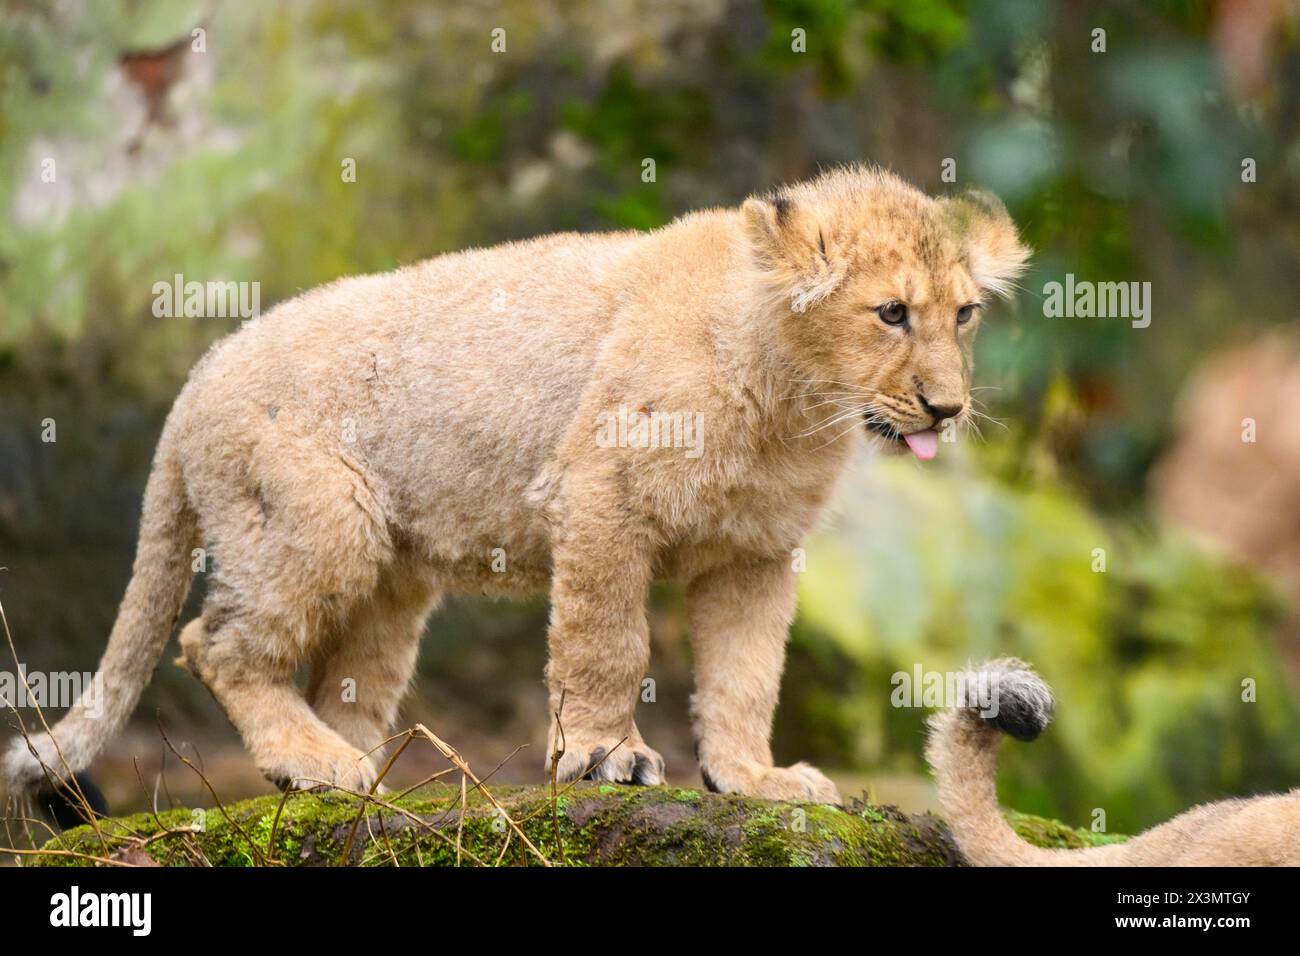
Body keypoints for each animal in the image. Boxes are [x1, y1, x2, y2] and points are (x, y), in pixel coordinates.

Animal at [3, 166, 1028, 808]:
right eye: (890, 313)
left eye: (964, 315)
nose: (947, 407)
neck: (794, 404)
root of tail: (195, 380)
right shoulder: (601, 498)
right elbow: (607, 645)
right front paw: (607, 757)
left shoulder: (755, 555)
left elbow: (744, 678)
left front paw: (754, 780)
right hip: (321, 519)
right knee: (213, 644)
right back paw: (315, 766)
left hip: (393, 576)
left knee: (344, 678)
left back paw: (357, 771)